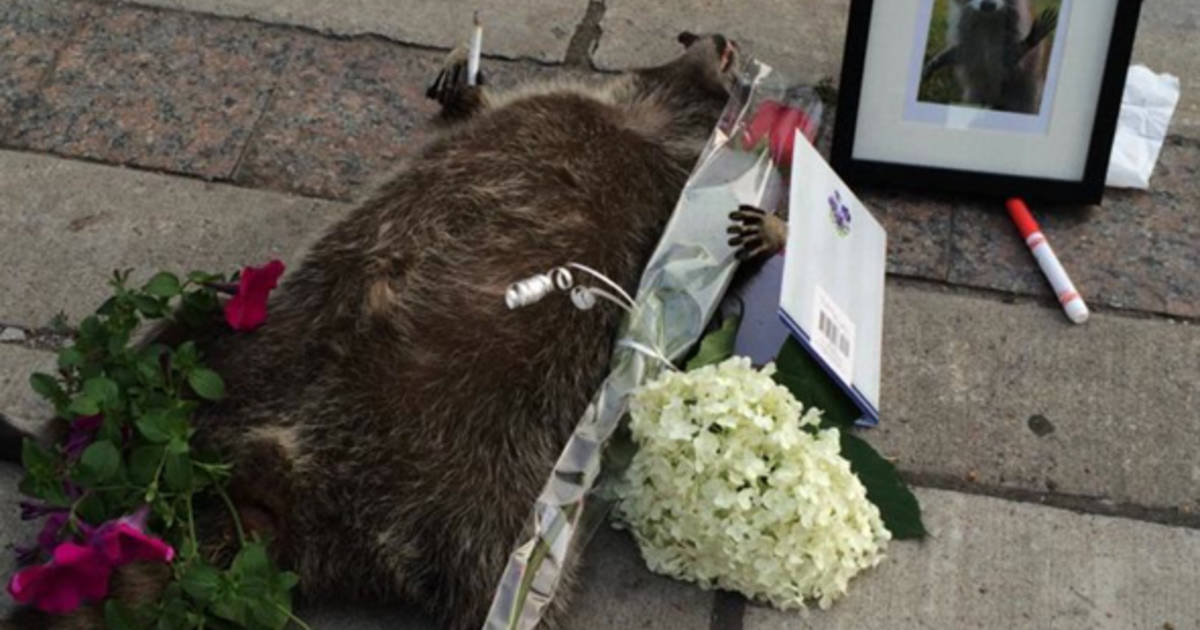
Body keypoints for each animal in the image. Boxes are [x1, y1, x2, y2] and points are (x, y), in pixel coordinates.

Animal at [2, 32, 741, 630]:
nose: (718, 42)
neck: (647, 112)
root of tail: (287, 490)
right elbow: (477, 111)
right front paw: (462, 78)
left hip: (501, 485)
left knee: (525, 576)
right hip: (238, 337)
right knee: (164, 344)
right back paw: (38, 436)